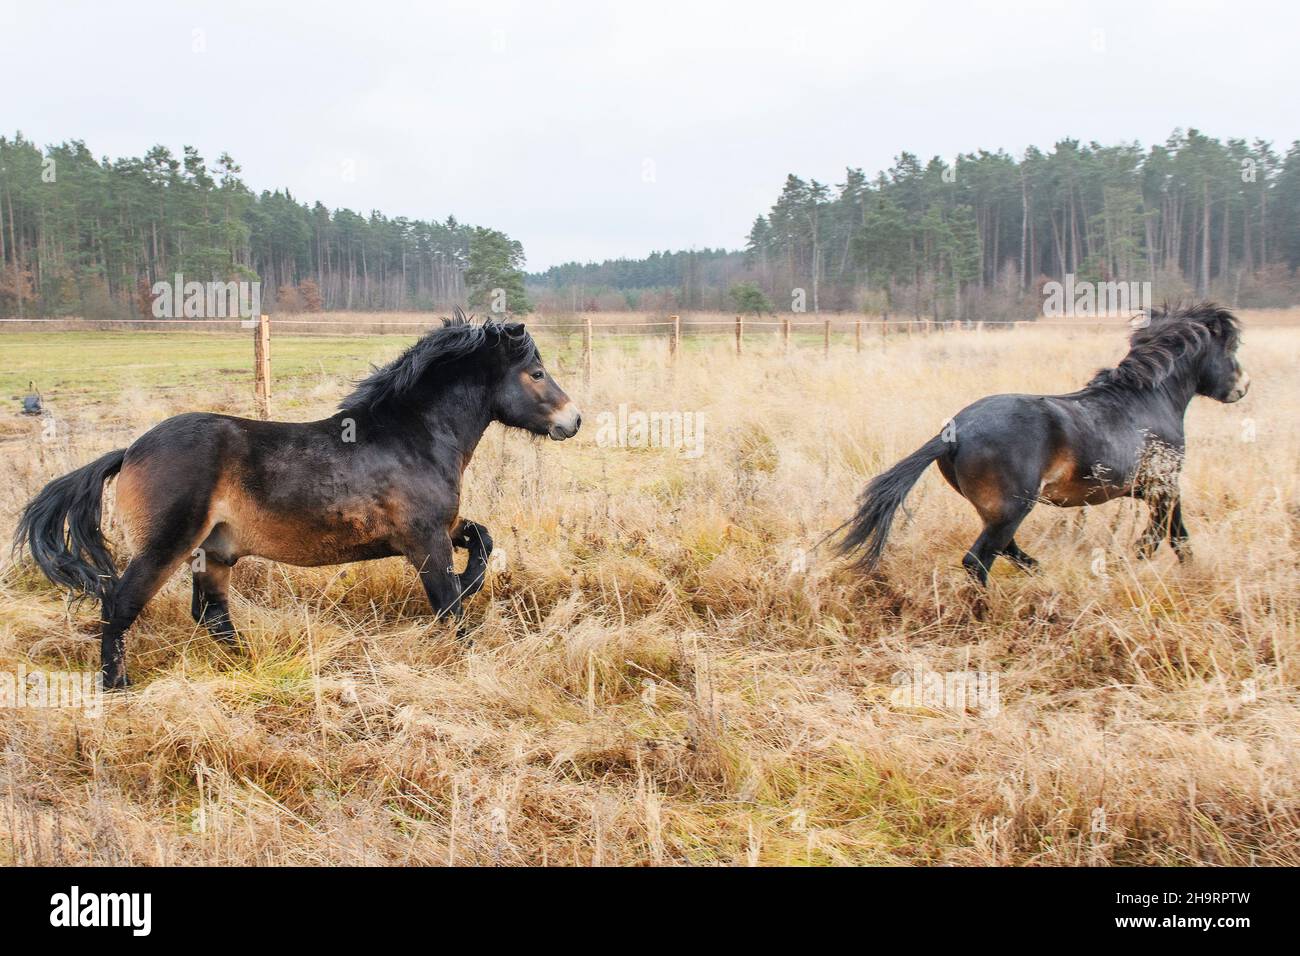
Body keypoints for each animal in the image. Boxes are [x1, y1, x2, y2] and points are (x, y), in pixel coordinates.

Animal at [13, 310, 581, 688]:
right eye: (535, 373)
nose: (572, 420)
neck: (411, 436)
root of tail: (130, 450)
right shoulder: (424, 542)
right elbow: (449, 606)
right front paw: (466, 649)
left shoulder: (439, 530)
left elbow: (482, 539)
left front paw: (472, 583)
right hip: (165, 546)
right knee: (120, 603)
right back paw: (118, 685)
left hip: (214, 552)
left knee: (210, 613)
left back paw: (248, 665)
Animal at [833, 302, 1249, 584]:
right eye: (1229, 350)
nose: (1243, 388)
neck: (1148, 399)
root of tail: (952, 433)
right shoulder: (1163, 486)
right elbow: (1163, 537)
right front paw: (1132, 568)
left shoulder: (1152, 490)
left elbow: (1175, 535)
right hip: (1014, 507)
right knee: (979, 559)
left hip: (999, 510)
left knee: (1005, 549)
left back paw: (1039, 572)